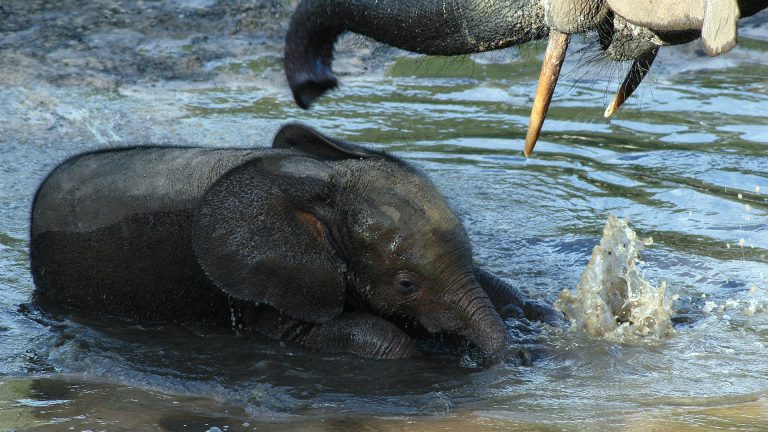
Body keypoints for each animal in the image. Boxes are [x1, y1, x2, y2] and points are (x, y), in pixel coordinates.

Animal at [30, 123, 561, 364]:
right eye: (406, 285)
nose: (521, 360)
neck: (323, 185)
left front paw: (540, 315)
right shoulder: (263, 286)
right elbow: (361, 337)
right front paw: (427, 359)